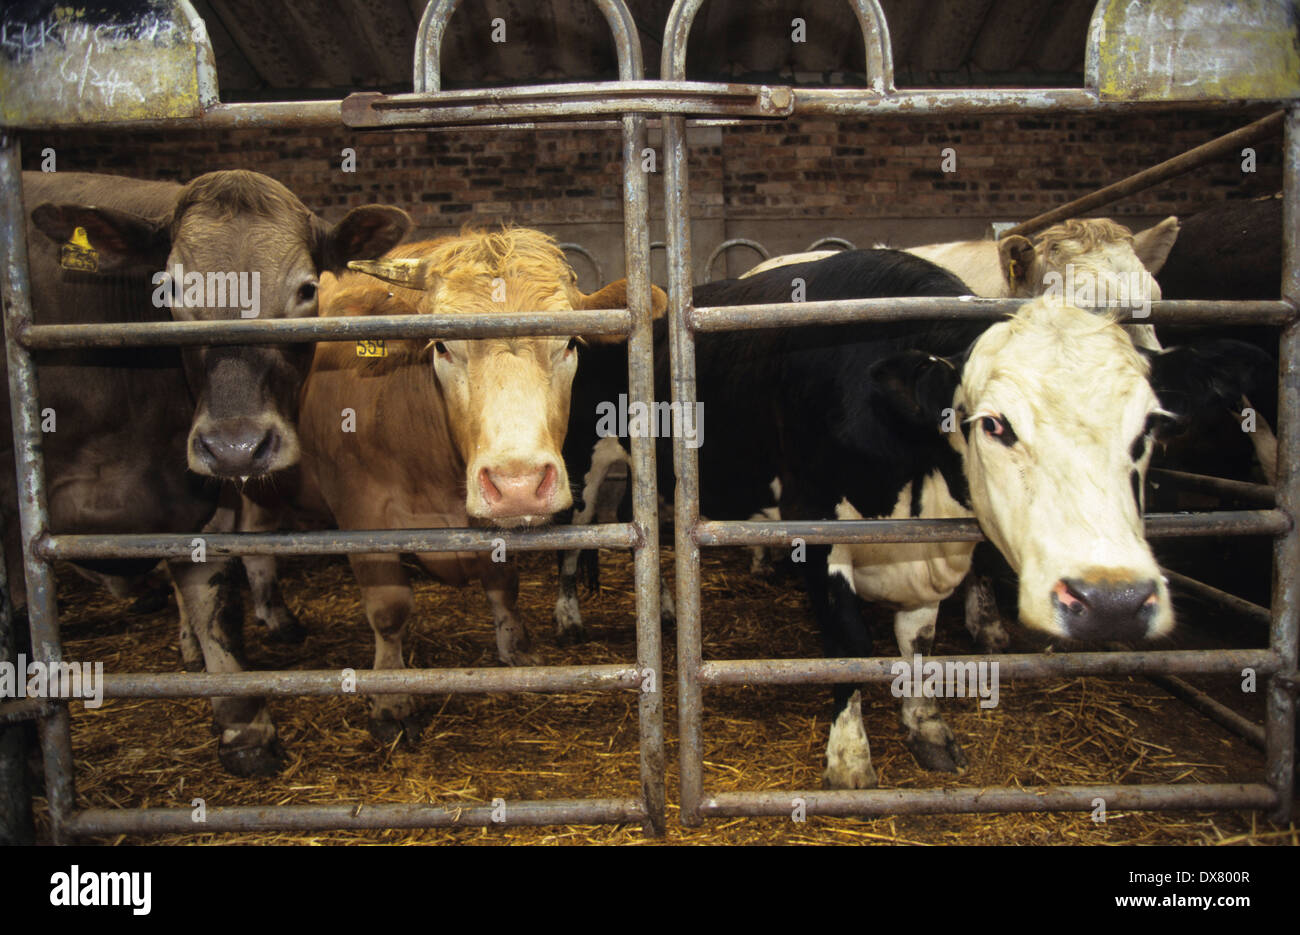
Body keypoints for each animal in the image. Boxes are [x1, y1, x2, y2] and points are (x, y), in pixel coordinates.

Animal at [2, 170, 411, 775]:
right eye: (170, 291)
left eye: (306, 290)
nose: (236, 447)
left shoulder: (202, 500)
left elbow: (213, 604)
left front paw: (245, 726)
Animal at [239, 228, 665, 741]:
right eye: (441, 346)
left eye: (569, 343)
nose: (517, 483)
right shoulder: (361, 515)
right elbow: (388, 608)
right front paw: (391, 699)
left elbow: (504, 584)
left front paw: (517, 649)